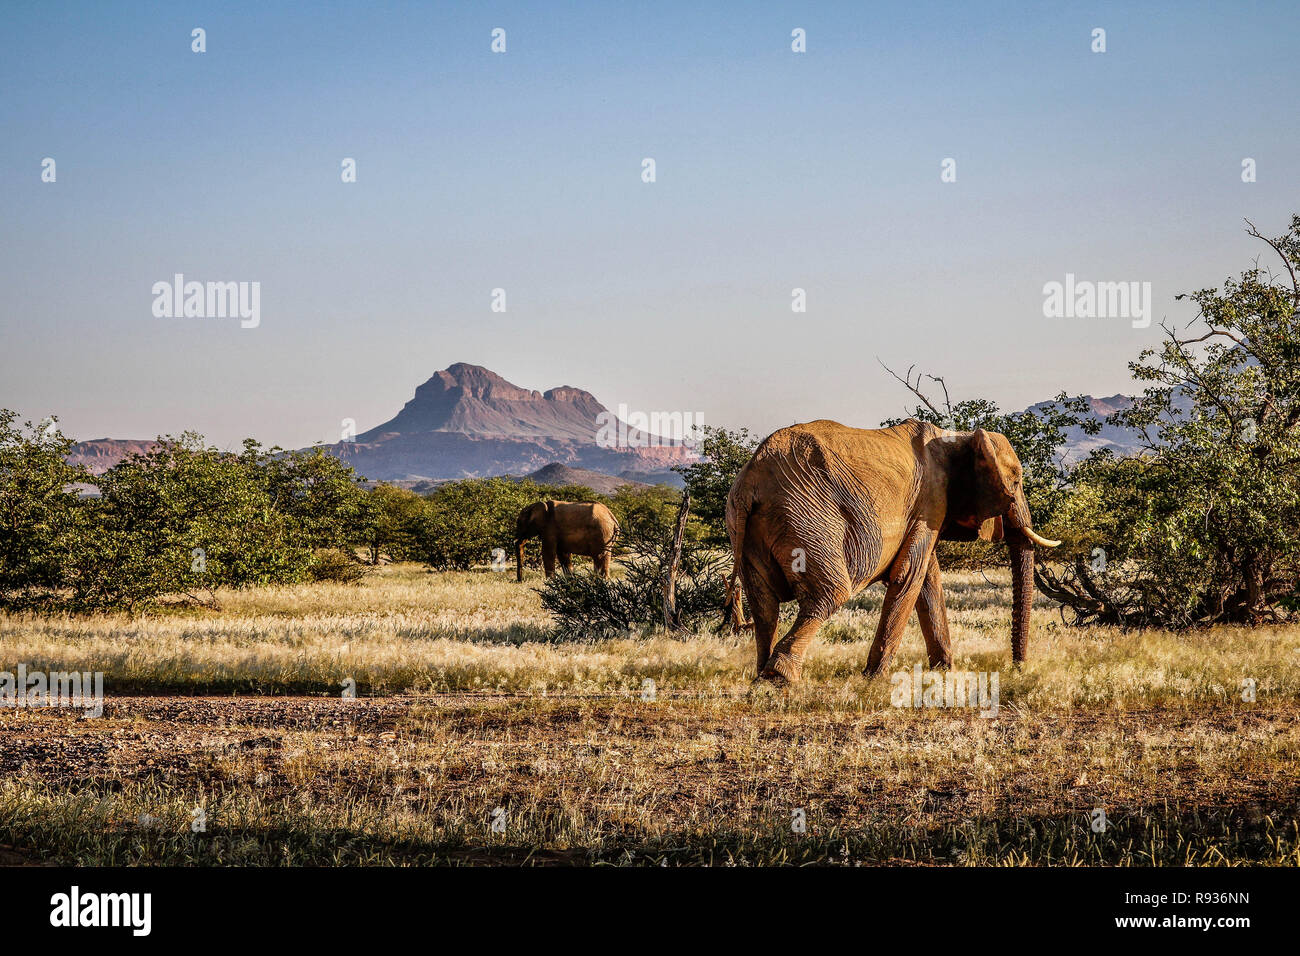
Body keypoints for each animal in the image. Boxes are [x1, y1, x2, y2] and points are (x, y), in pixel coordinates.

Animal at [725, 419, 1060, 685]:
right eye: (1015, 481)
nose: (1017, 667)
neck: (957, 437)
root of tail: (749, 481)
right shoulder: (931, 499)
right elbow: (909, 575)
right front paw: (875, 679)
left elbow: (928, 579)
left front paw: (944, 671)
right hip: (807, 519)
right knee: (829, 594)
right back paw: (781, 677)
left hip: (749, 526)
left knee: (764, 604)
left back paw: (762, 676)